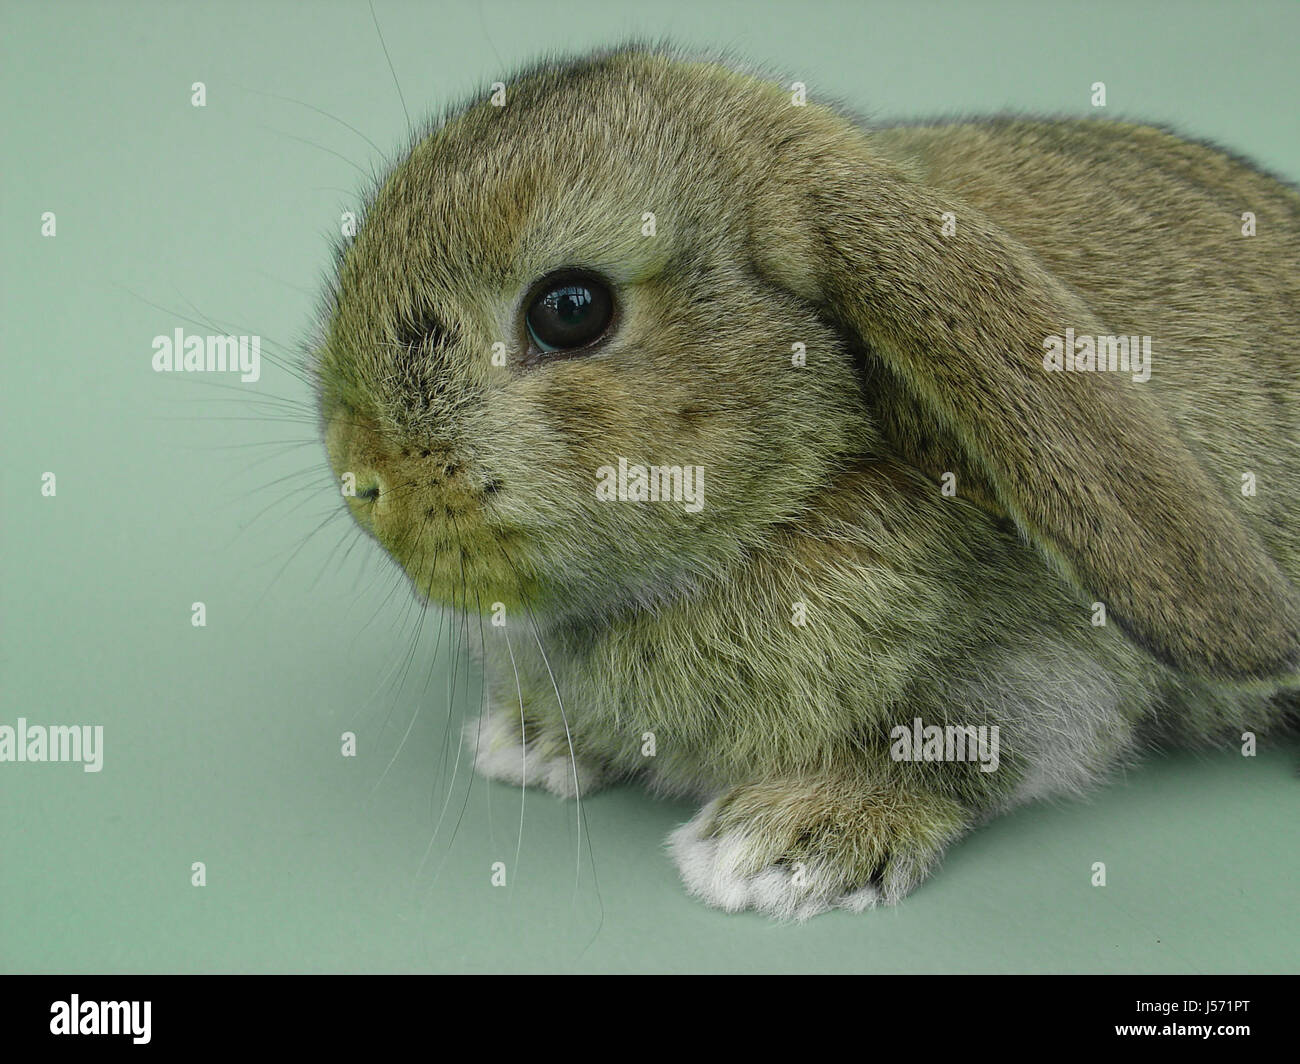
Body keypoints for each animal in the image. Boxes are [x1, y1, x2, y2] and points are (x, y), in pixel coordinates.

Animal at [313, 44, 1300, 920]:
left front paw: (781, 848)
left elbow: (953, 750)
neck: (800, 490)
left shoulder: (1039, 671)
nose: (362, 477)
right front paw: (529, 741)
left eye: (570, 310)